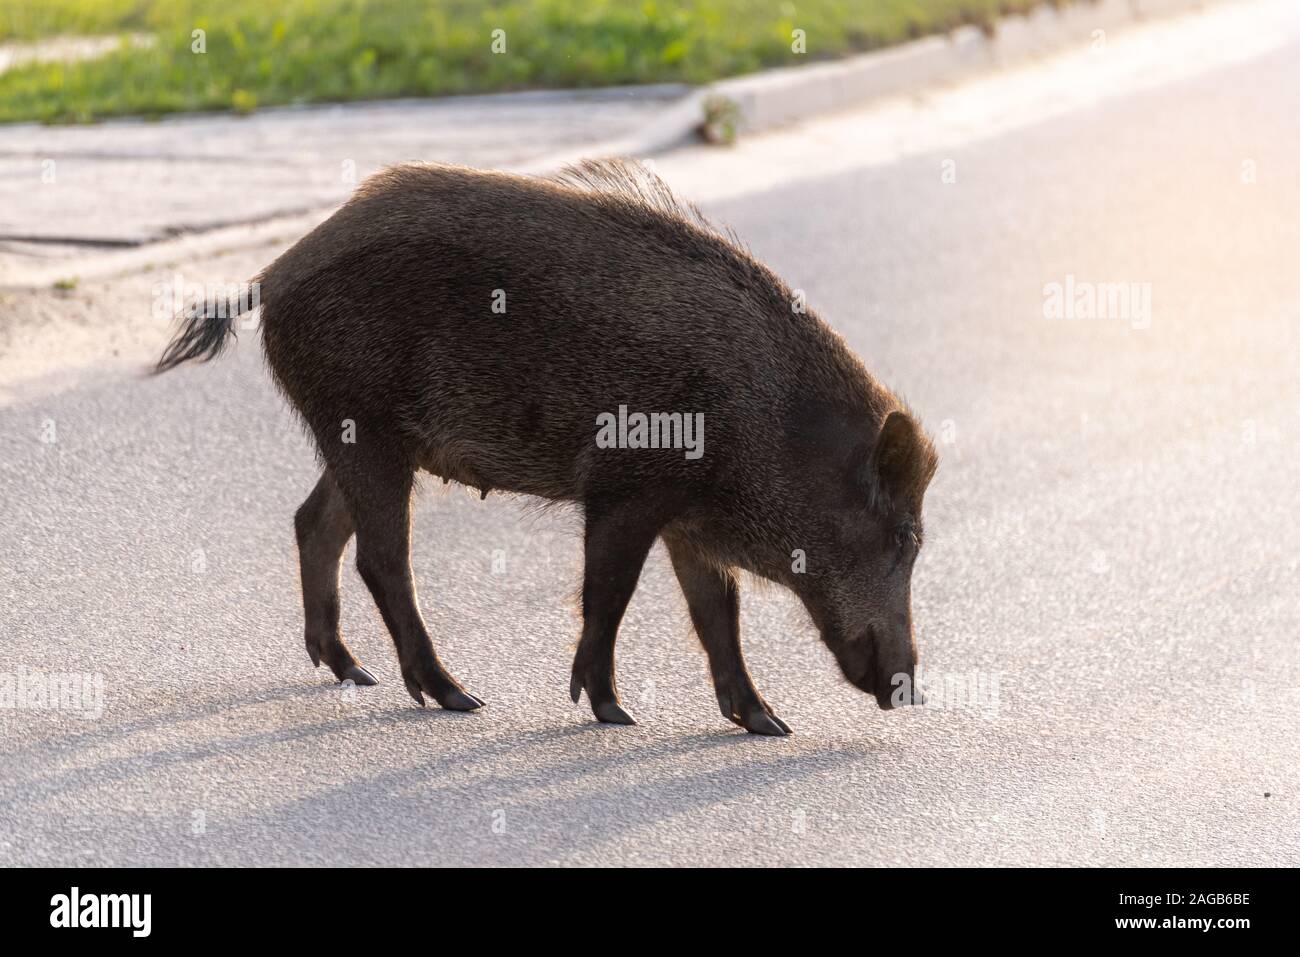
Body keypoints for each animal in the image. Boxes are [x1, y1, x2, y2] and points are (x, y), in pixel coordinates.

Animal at [155, 159, 937, 735]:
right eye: (903, 537)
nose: (911, 691)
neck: (767, 423)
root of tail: (272, 274)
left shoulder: (687, 522)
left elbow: (718, 613)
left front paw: (769, 724)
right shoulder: (625, 491)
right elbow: (610, 593)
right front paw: (614, 712)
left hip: (363, 441)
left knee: (313, 524)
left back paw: (352, 671)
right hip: (366, 431)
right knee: (381, 559)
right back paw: (457, 696)